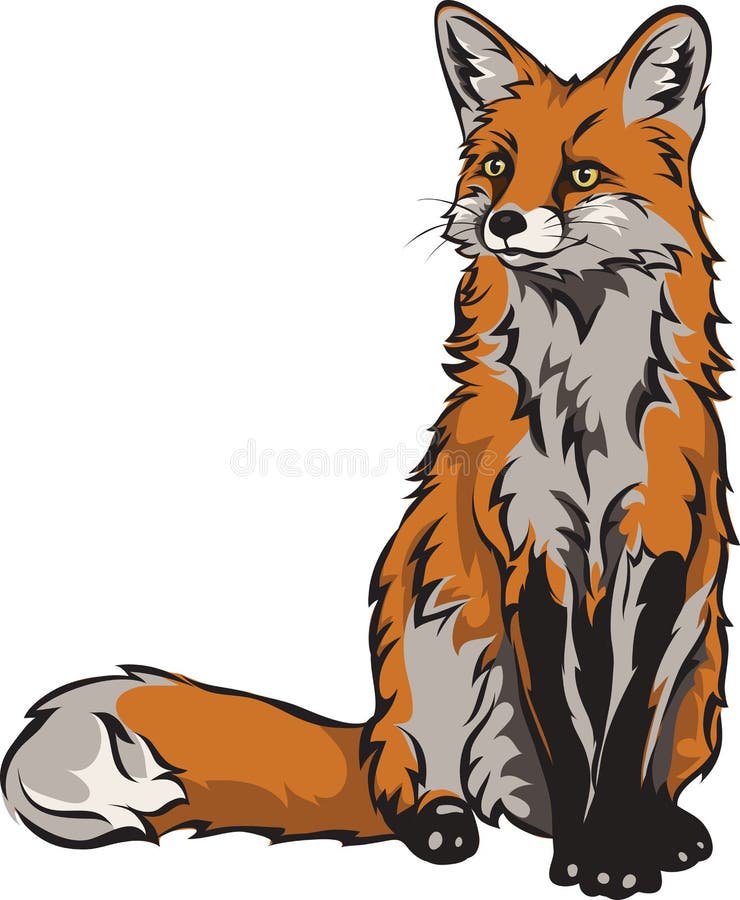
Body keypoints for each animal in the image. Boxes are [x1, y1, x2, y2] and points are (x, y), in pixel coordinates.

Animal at [1, 4, 732, 898]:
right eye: (498, 166)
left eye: (583, 174)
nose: (503, 221)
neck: (581, 409)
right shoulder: (529, 552)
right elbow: (566, 733)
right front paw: (583, 858)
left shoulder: (665, 548)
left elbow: (625, 733)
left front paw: (618, 850)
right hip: (433, 620)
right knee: (410, 782)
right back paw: (450, 823)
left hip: (705, 672)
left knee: (644, 764)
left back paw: (666, 830)